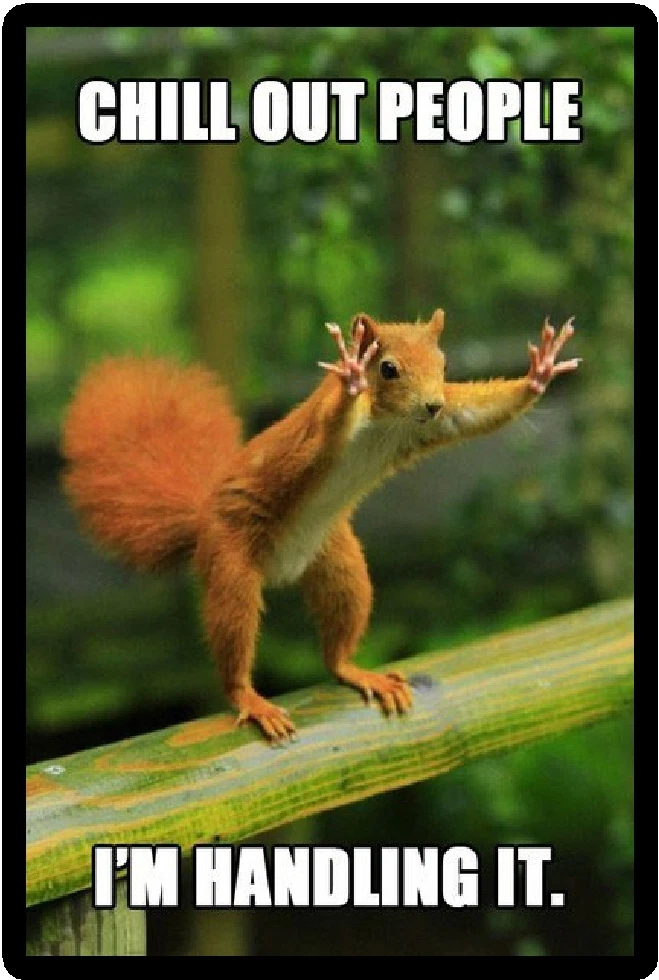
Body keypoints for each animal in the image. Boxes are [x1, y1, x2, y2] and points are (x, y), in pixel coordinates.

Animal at [62, 310, 579, 741]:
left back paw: (355, 670)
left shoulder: (433, 424)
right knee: (233, 634)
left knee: (336, 643)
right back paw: (249, 697)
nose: (431, 403)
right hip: (231, 561)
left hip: (339, 563)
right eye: (387, 368)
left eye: (444, 361)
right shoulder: (316, 435)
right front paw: (351, 374)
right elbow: (327, 429)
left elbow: (474, 413)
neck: (386, 422)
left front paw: (540, 372)